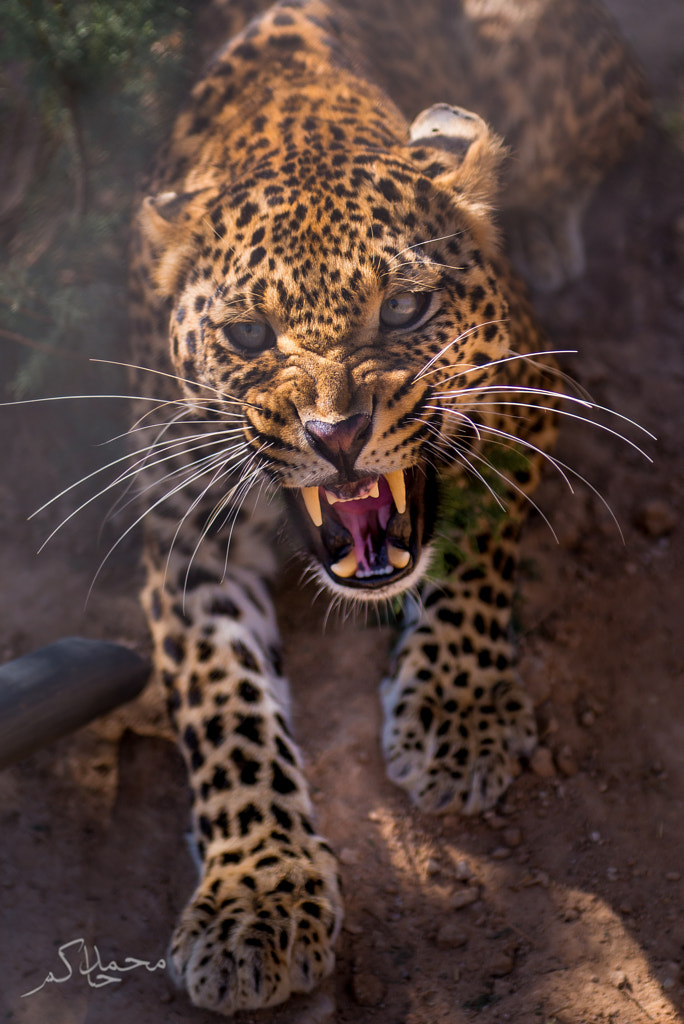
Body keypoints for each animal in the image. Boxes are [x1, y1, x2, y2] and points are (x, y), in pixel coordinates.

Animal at [127, 0, 648, 1013]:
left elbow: (473, 553)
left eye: (404, 309)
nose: (336, 433)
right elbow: (223, 704)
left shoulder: (524, 398)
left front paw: (456, 715)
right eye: (247, 334)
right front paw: (255, 894)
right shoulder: (182, 530)